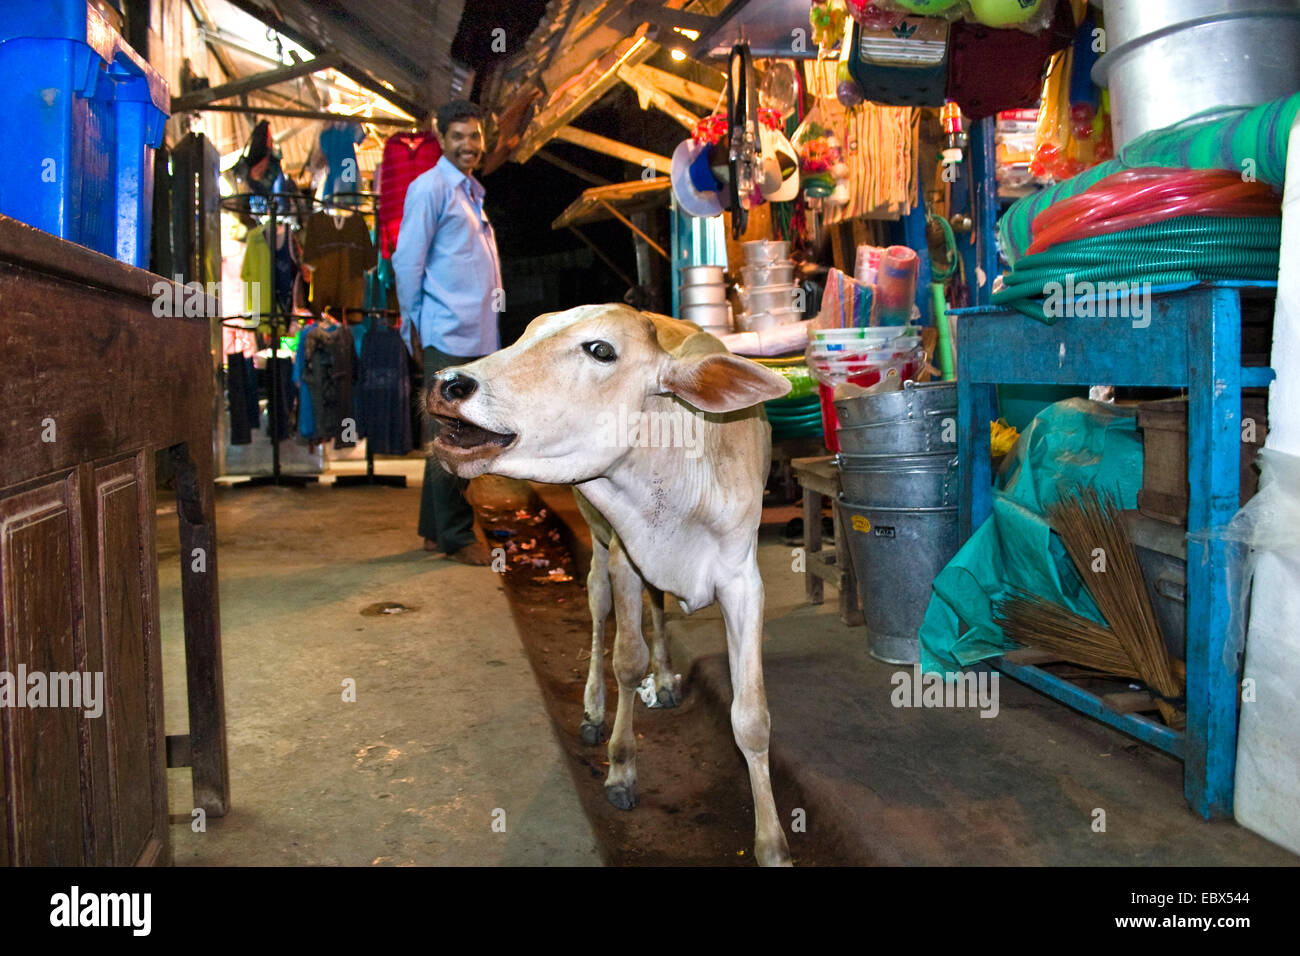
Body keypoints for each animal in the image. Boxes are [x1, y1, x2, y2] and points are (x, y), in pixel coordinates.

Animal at [426, 303, 793, 866]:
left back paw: (666, 679)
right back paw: (596, 710)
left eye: (600, 350)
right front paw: (621, 767)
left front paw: (772, 845)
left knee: (659, 608)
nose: (448, 382)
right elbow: (626, 661)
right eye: (527, 333)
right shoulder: (625, 556)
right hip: (599, 552)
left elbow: (752, 718)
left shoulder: (743, 581)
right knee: (600, 619)